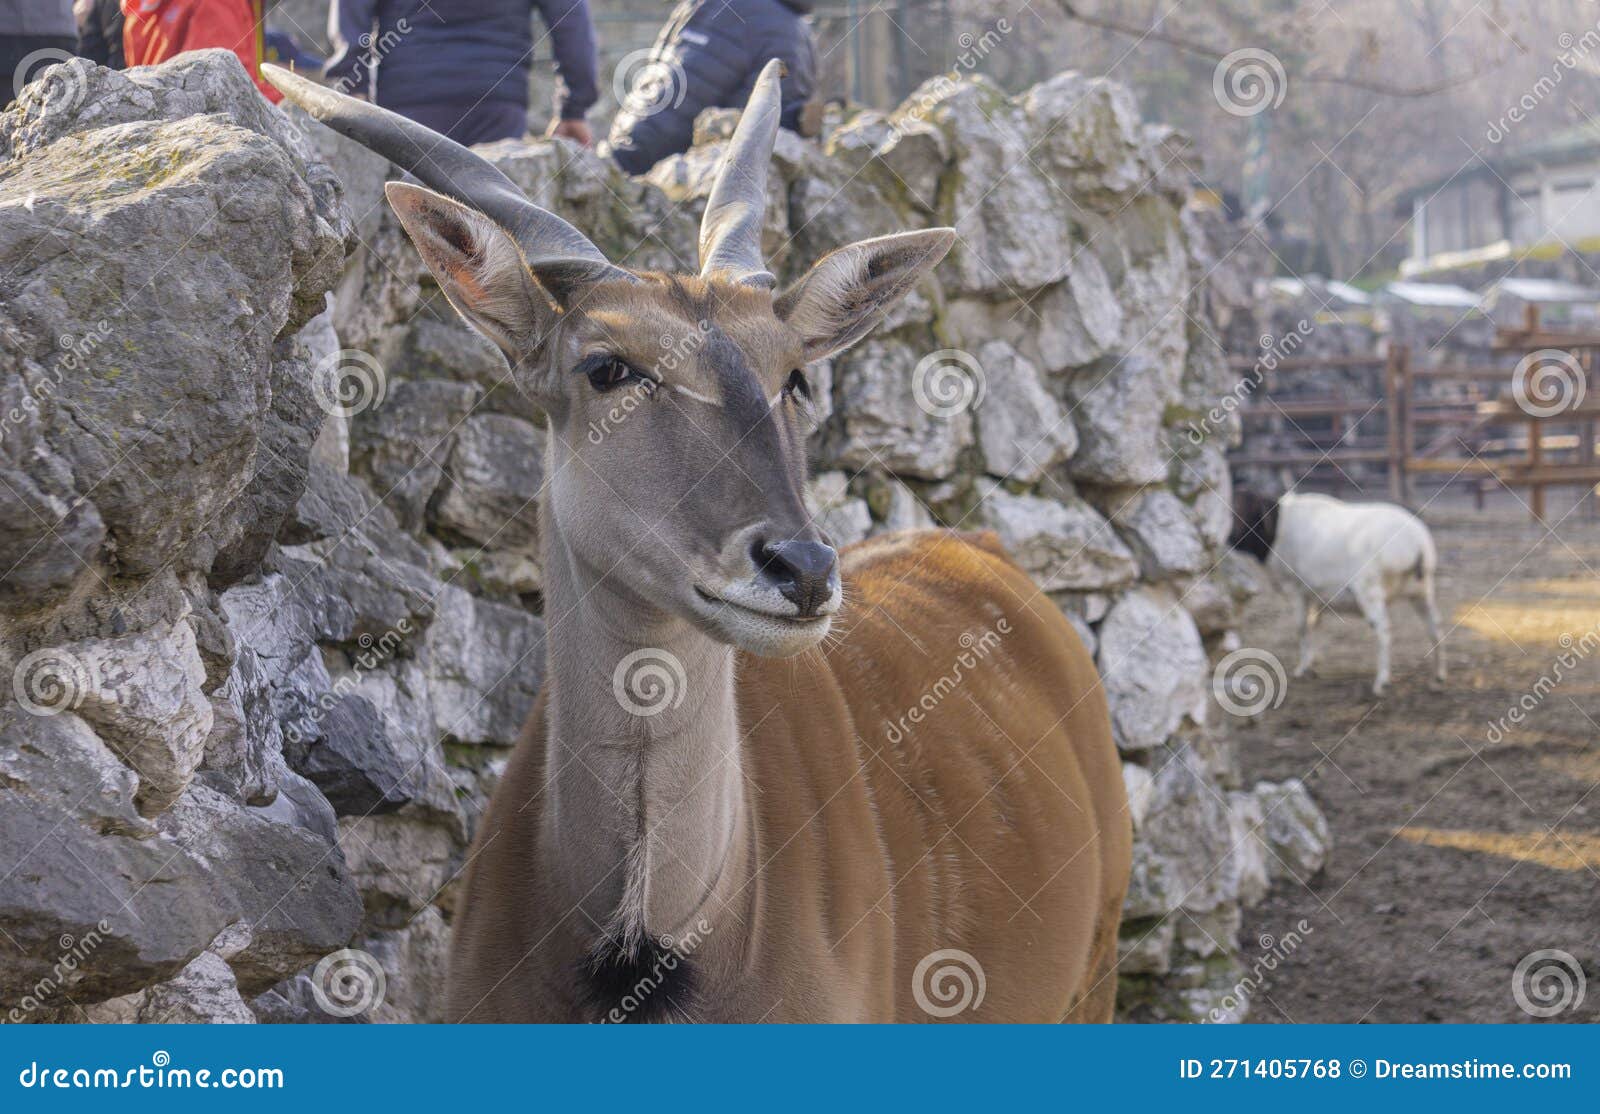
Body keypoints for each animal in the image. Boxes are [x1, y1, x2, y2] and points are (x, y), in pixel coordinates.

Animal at [265, 61, 1130, 1023]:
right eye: (607, 368)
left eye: (795, 376)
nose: (800, 570)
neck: (647, 948)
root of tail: (984, 549)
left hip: (1096, 979)